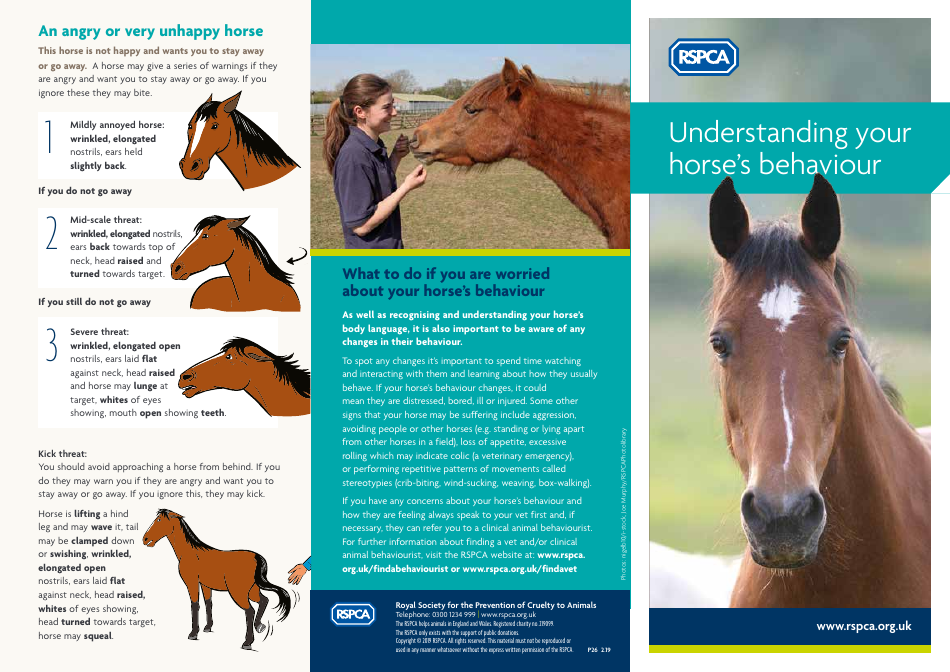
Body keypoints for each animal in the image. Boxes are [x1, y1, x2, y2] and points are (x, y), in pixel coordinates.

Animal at [142, 509, 291, 649]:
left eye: (159, 520)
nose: (145, 539)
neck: (190, 552)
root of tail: (256, 557)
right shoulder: (205, 585)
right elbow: (208, 603)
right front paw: (208, 627)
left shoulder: (191, 583)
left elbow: (195, 605)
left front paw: (193, 633)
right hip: (252, 589)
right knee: (264, 600)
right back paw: (259, 626)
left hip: (238, 592)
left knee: (250, 611)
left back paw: (247, 642)